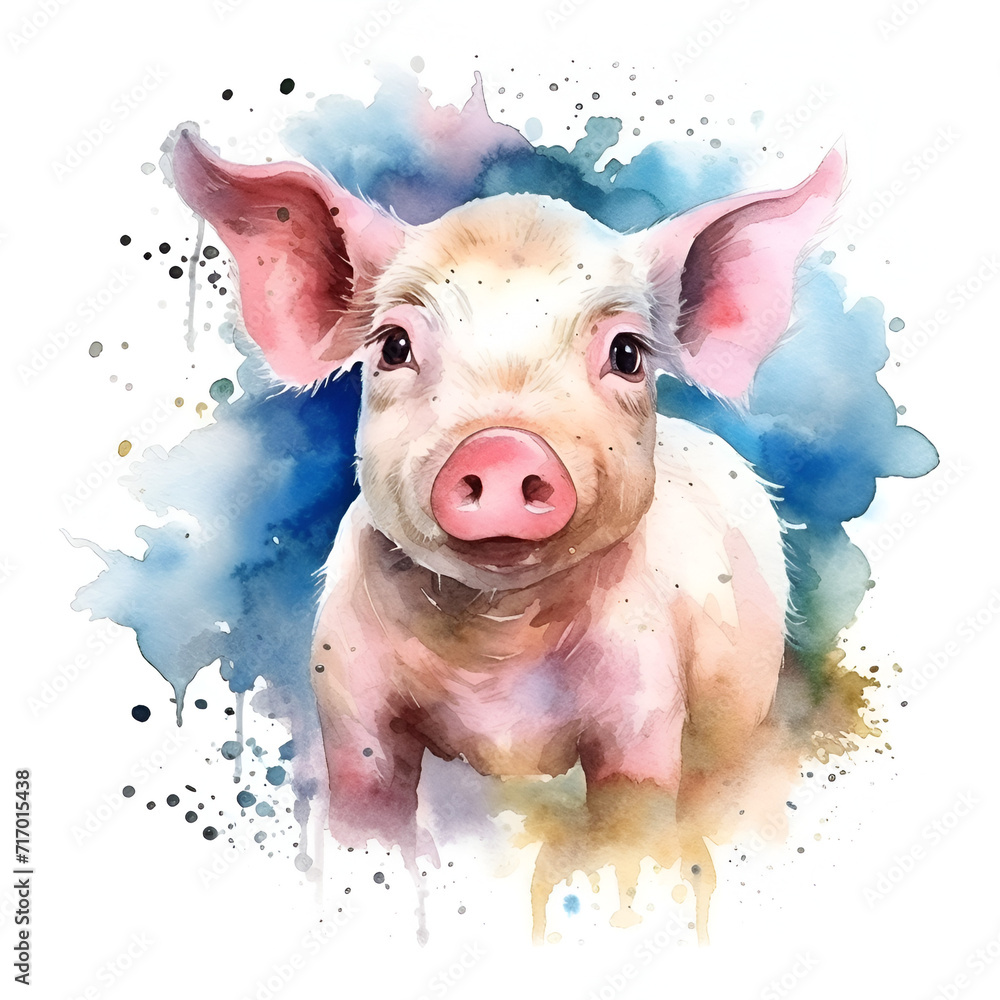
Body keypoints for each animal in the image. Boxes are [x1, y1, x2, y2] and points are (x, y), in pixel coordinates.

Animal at [168, 124, 843, 872]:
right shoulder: (347, 694)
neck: (496, 643)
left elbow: (631, 822)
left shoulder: (644, 699)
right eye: (394, 344)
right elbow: (368, 809)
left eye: (628, 353)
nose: (500, 448)